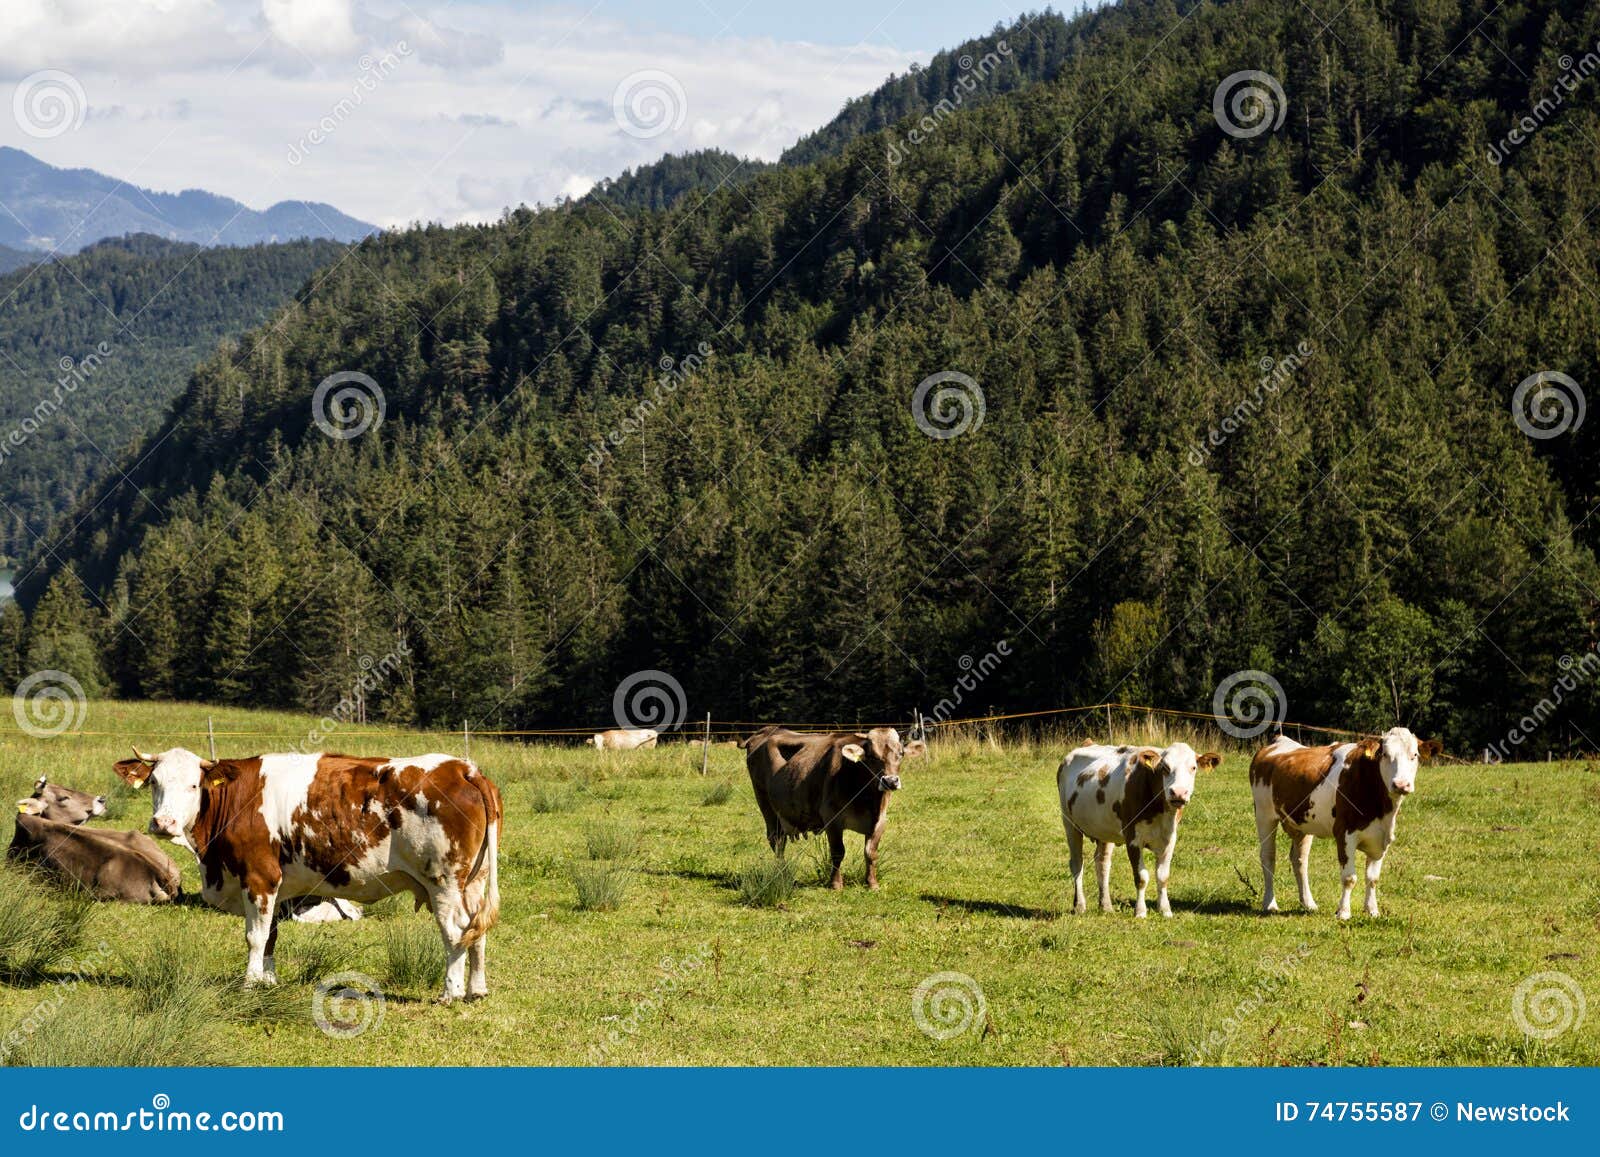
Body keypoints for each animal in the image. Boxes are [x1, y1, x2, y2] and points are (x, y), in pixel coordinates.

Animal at [114, 748, 502, 1002]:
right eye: (154, 782)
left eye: (194, 786)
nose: (163, 823)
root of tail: (462, 768)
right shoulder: (275, 885)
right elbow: (270, 935)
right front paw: (268, 982)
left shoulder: (259, 877)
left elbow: (255, 937)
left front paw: (249, 985)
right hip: (474, 880)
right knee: (476, 930)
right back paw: (476, 989)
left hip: (444, 882)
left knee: (454, 932)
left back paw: (451, 992)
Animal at [742, 726, 925, 890]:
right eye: (872, 756)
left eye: (901, 754)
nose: (890, 781)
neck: (867, 799)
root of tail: (767, 730)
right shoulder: (832, 818)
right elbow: (838, 852)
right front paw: (836, 884)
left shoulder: (880, 820)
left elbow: (870, 852)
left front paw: (872, 883)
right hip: (765, 803)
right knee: (777, 841)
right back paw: (783, 875)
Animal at [1057, 743, 1219, 917]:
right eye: (1165, 767)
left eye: (1193, 767)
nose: (1178, 792)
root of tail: (1088, 743)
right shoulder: (1133, 839)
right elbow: (1141, 877)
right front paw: (1140, 911)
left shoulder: (1169, 839)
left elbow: (1163, 876)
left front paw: (1165, 910)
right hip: (1070, 824)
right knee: (1077, 864)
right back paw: (1079, 905)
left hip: (1104, 830)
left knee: (1102, 864)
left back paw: (1106, 905)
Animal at [1250, 728, 1442, 919]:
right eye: (1385, 754)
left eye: (1414, 755)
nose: (1401, 784)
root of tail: (1279, 741)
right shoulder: (1344, 833)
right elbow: (1349, 877)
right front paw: (1343, 912)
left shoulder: (1381, 838)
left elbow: (1372, 878)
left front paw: (1372, 910)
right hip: (1264, 814)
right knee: (1268, 857)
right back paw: (1270, 904)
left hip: (1302, 823)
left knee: (1300, 861)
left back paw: (1308, 903)